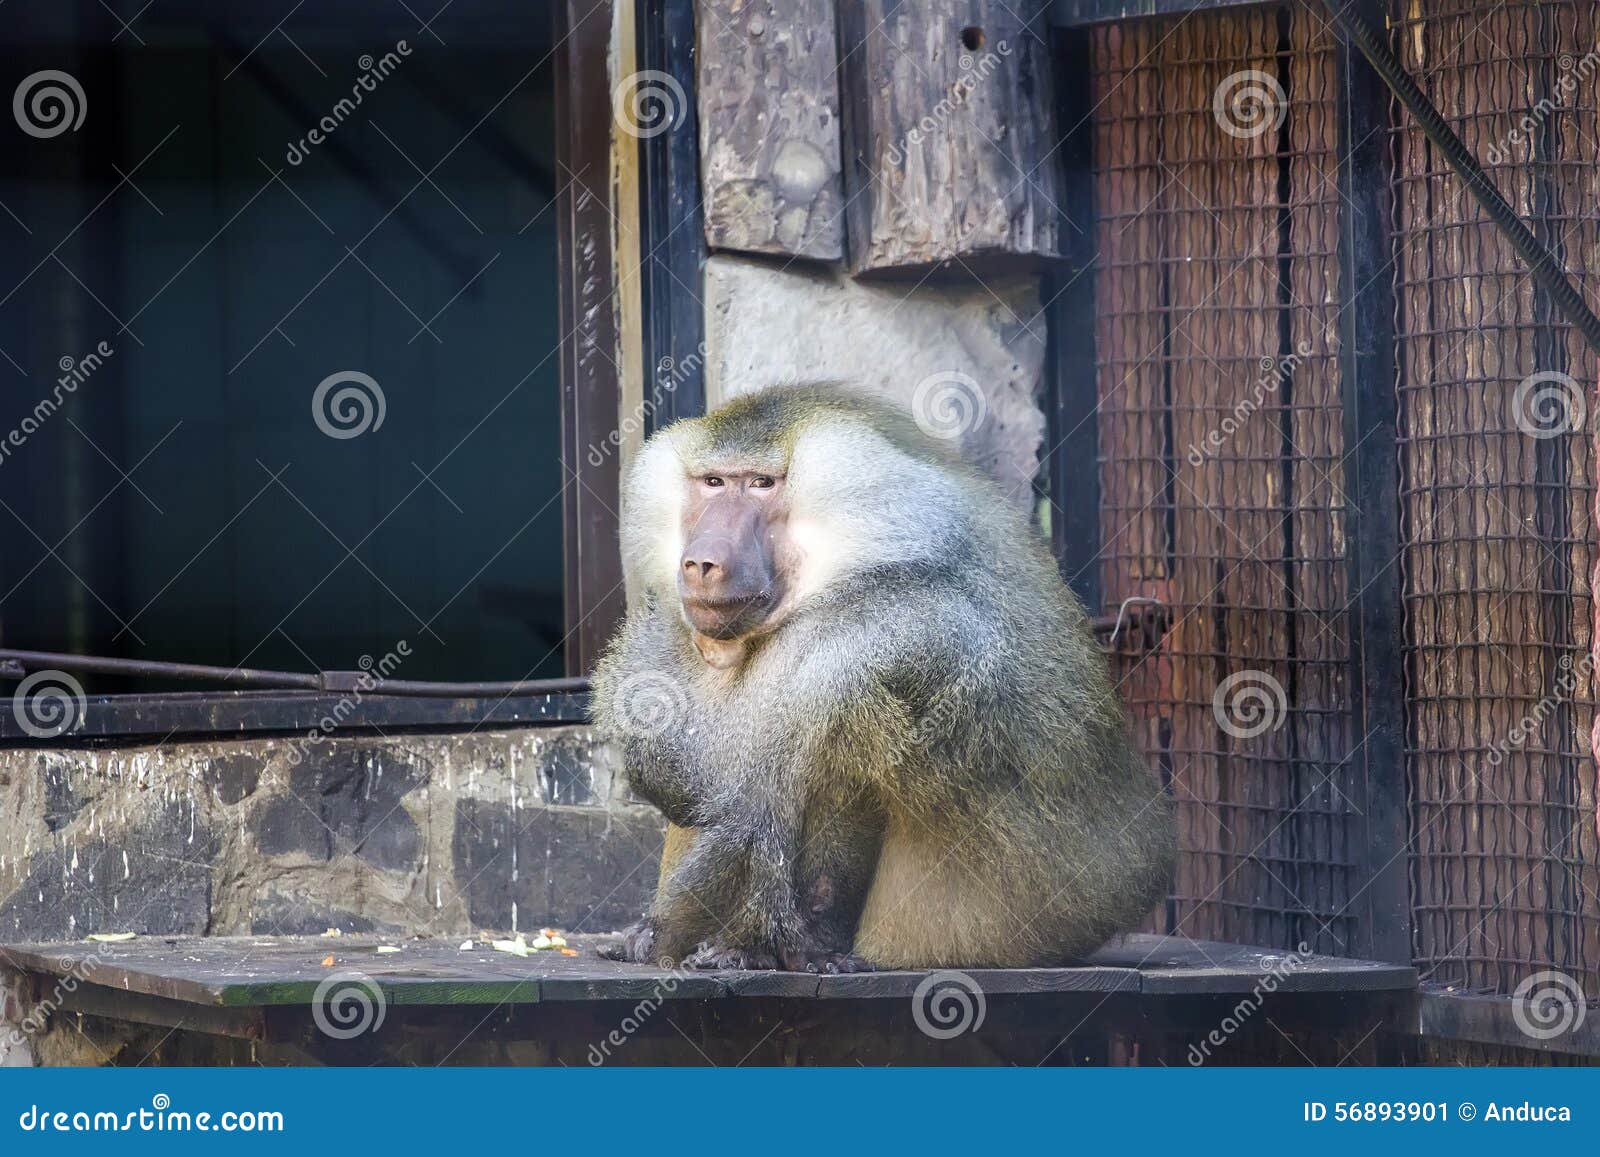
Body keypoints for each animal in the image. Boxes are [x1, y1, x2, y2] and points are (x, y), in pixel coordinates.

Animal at [590, 383, 1175, 971]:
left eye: (760, 484)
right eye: (712, 482)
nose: (702, 564)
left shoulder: (882, 632)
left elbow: (774, 797)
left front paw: (742, 945)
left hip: (1009, 921)